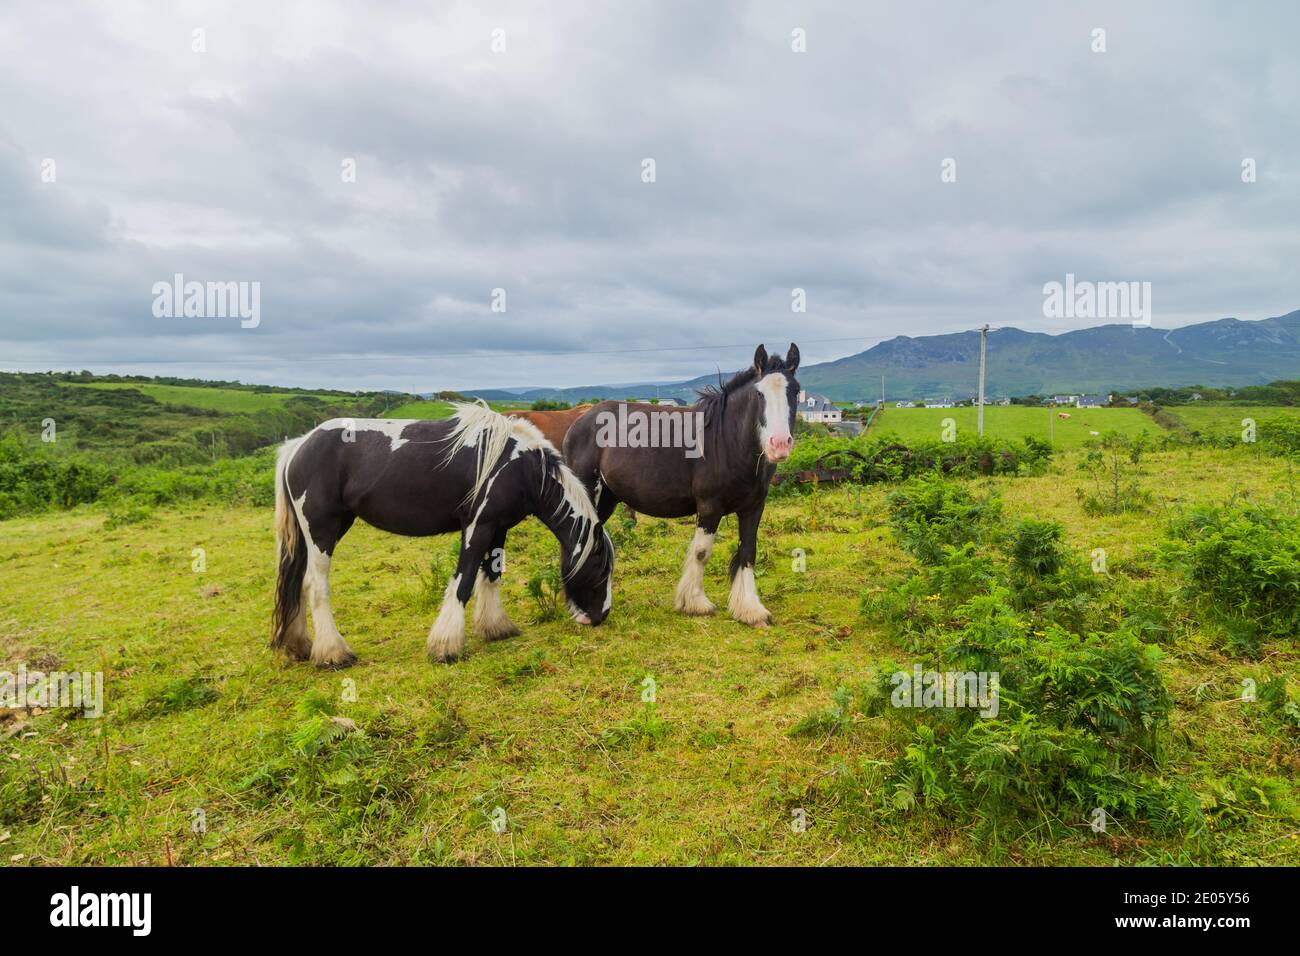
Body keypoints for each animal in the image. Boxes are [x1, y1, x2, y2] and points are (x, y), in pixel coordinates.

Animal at [271, 403, 614, 666]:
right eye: (601, 568)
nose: (600, 616)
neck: (518, 467)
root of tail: (298, 446)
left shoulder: (498, 528)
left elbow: (491, 576)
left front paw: (496, 628)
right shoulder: (477, 526)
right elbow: (464, 581)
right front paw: (446, 645)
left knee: (298, 583)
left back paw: (301, 645)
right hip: (322, 530)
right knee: (316, 586)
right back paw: (333, 653)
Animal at [563, 344, 799, 627]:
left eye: (795, 391)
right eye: (759, 393)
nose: (779, 444)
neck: (727, 441)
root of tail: (578, 422)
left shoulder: (754, 507)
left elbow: (748, 551)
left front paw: (751, 609)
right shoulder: (709, 506)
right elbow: (701, 553)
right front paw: (695, 603)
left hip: (607, 500)